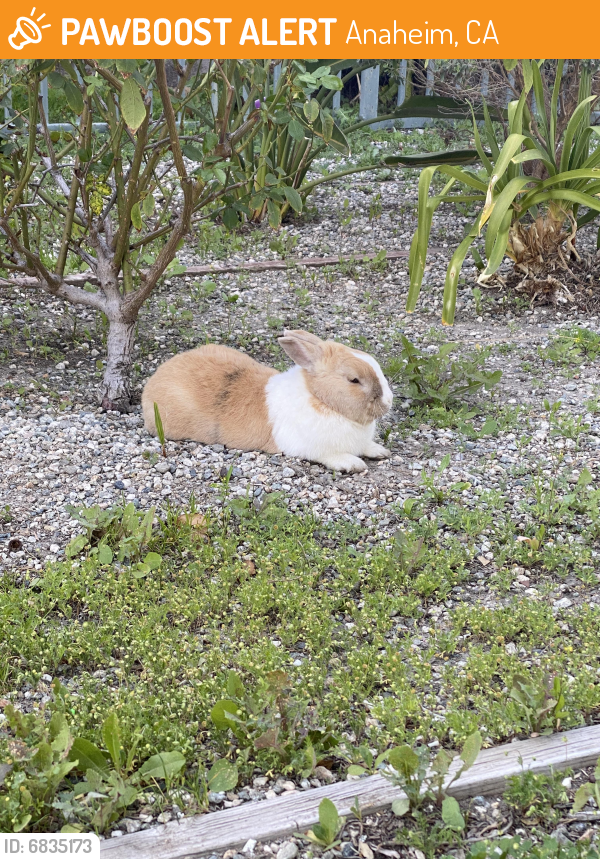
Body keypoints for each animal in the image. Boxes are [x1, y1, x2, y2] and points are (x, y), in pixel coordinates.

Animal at [142, 329, 393, 472]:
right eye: (354, 380)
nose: (389, 401)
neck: (321, 399)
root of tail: (153, 380)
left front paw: (381, 452)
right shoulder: (312, 448)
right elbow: (332, 456)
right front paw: (353, 465)